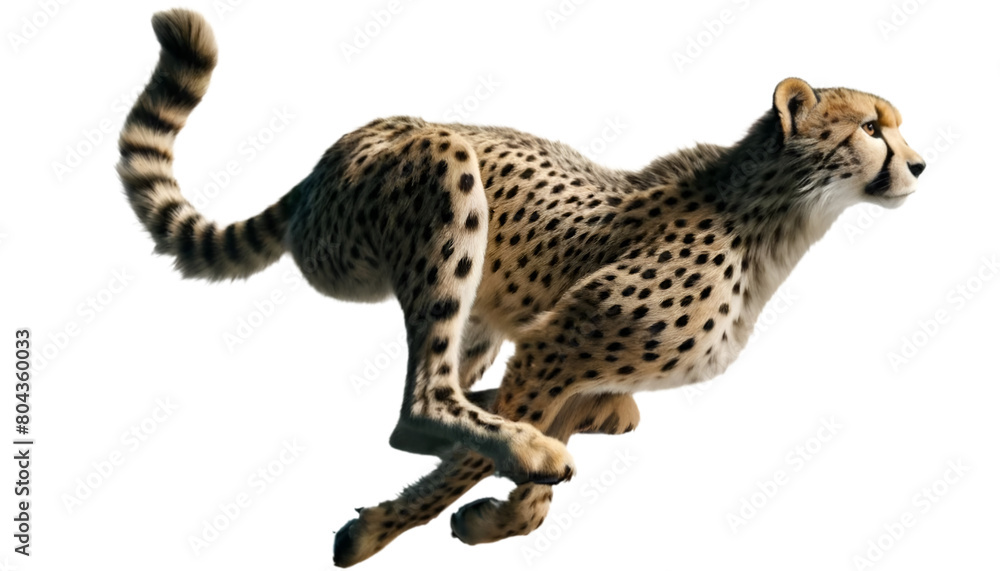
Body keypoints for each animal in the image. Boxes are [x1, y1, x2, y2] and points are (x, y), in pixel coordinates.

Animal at [115, 9, 926, 567]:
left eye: (894, 127)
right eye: (870, 129)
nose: (919, 165)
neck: (775, 217)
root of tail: (322, 165)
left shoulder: (569, 362)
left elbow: (578, 427)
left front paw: (483, 514)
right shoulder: (557, 346)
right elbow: (507, 454)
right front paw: (396, 524)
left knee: (422, 412)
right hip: (431, 178)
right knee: (421, 399)